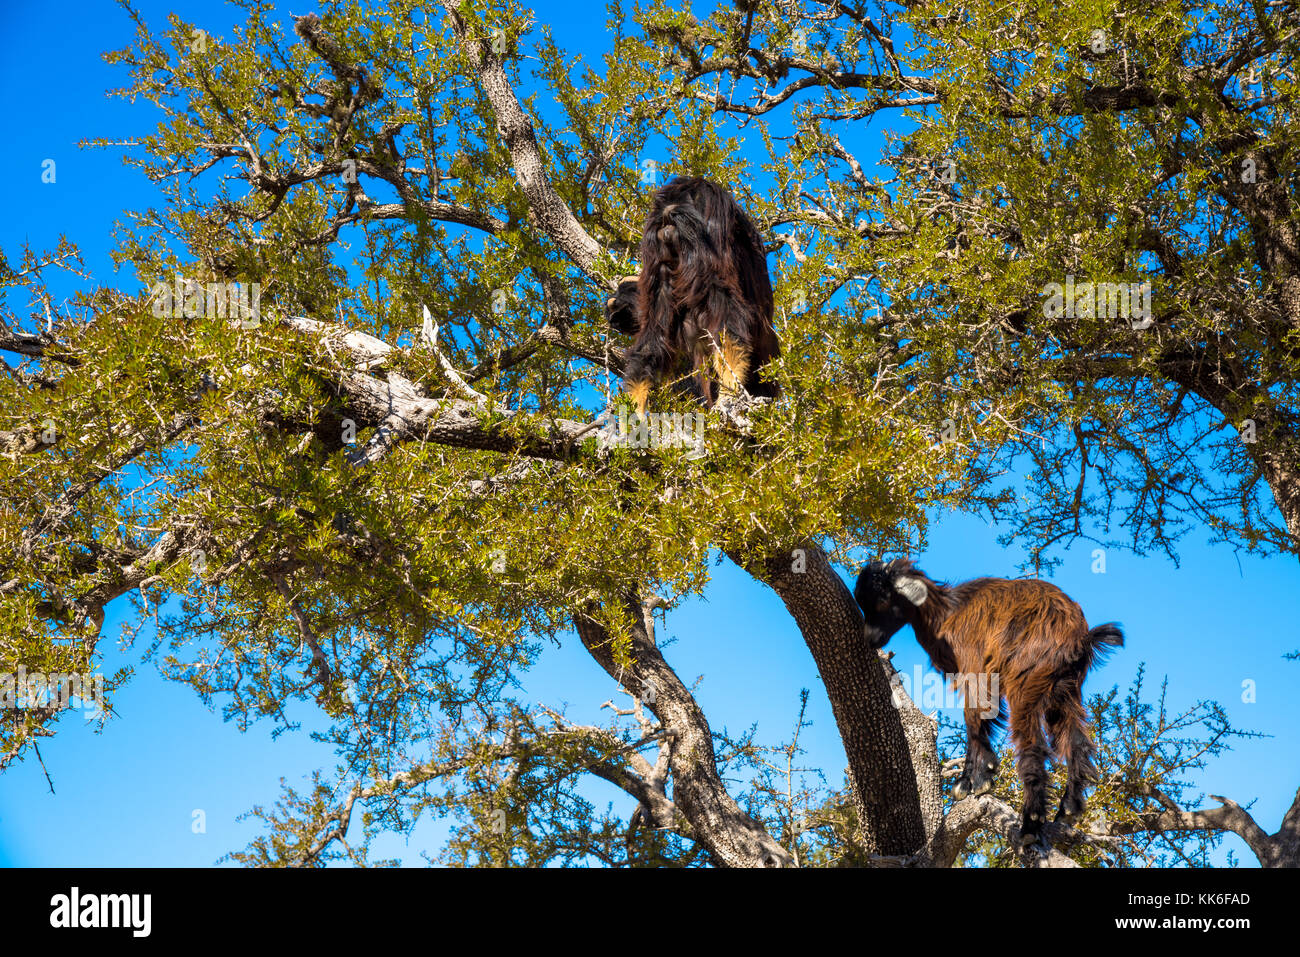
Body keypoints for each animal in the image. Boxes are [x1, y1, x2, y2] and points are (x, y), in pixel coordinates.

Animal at [853, 558, 1123, 846]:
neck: (946, 614)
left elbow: (973, 721)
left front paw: (979, 778)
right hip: (1067, 689)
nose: (871, 638)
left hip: (1026, 679)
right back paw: (1069, 807)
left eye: (883, 600)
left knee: (1033, 746)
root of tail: (1077, 635)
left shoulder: (975, 670)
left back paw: (1030, 824)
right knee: (1077, 743)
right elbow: (979, 720)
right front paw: (970, 781)